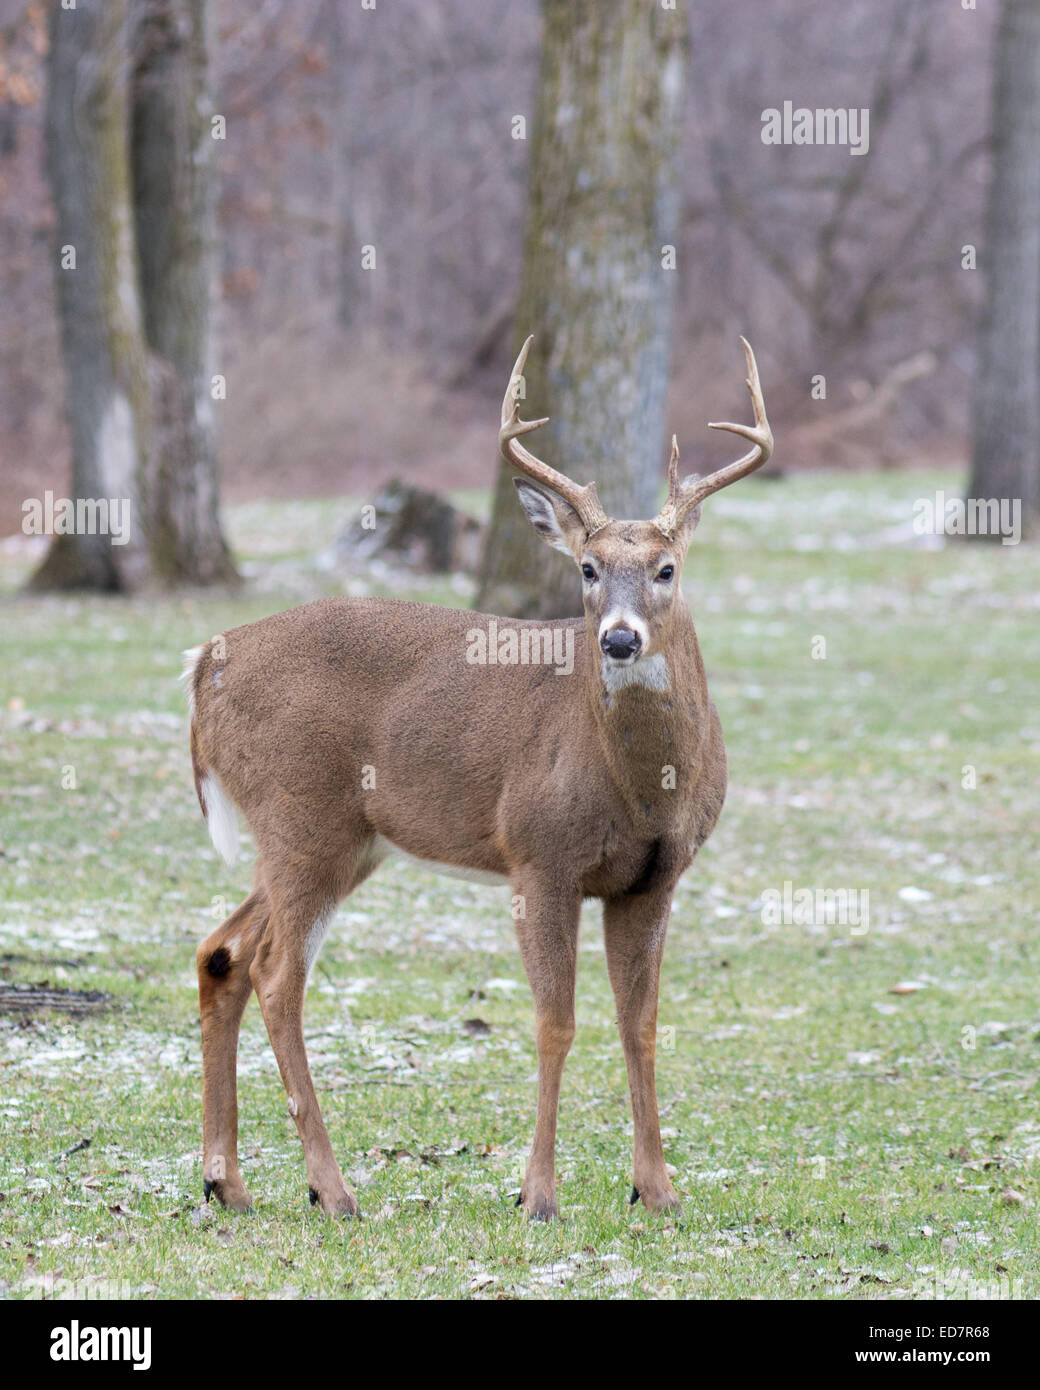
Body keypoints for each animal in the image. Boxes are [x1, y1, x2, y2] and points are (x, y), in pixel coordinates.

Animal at [183, 336, 772, 1221]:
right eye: (588, 568)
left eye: (667, 568)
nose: (620, 639)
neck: (643, 790)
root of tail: (205, 661)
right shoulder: (539, 854)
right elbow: (555, 1022)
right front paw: (538, 1195)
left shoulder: (654, 877)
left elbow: (640, 1025)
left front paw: (657, 1191)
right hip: (301, 816)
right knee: (275, 976)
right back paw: (333, 1190)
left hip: (343, 840)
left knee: (221, 953)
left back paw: (228, 1183)